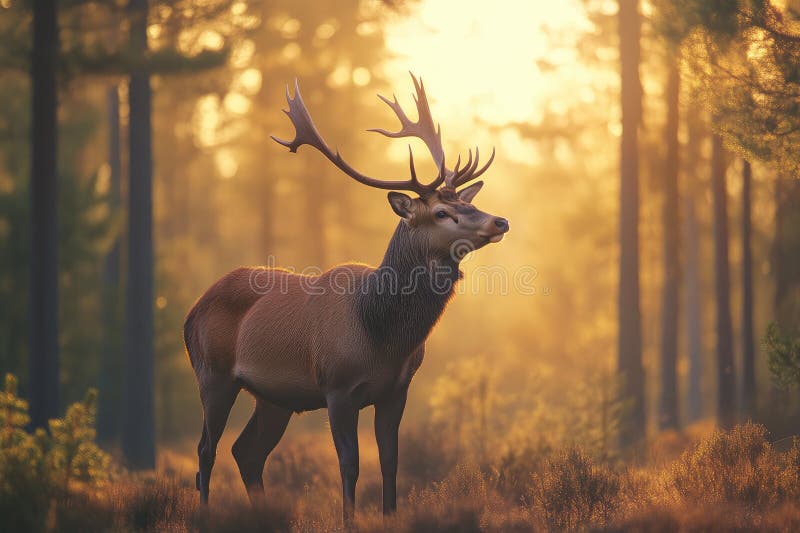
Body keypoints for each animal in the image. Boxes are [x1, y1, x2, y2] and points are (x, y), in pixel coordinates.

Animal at [183, 73, 509, 523]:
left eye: (467, 201)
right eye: (442, 212)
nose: (500, 221)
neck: (383, 333)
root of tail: (191, 312)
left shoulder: (396, 390)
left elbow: (390, 462)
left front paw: (390, 517)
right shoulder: (337, 387)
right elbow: (350, 464)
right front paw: (348, 519)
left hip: (274, 398)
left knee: (246, 452)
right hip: (212, 374)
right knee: (205, 451)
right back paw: (204, 515)